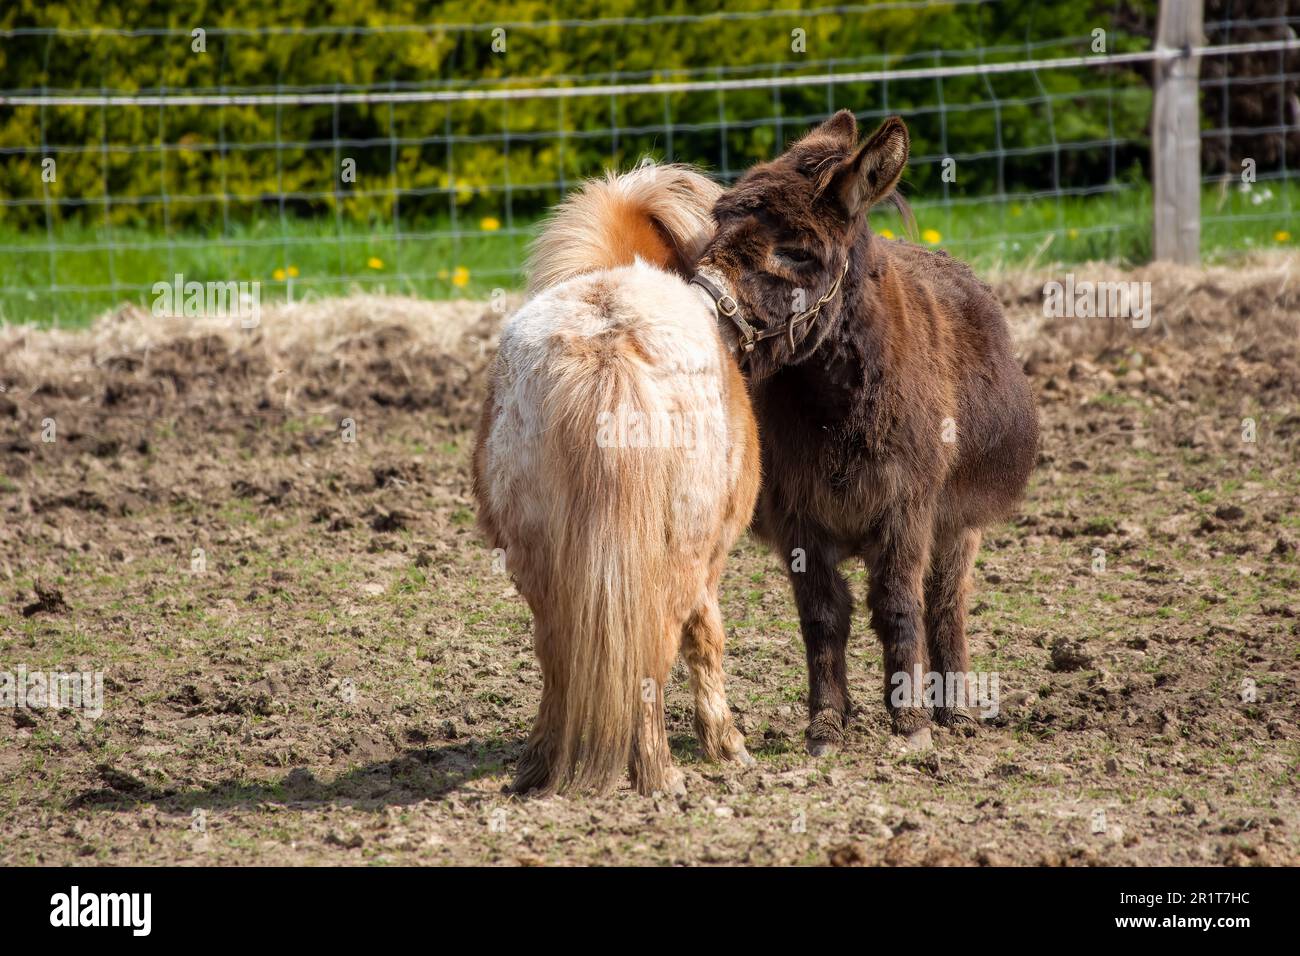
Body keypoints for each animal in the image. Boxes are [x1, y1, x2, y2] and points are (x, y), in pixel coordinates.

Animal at [472, 163, 761, 795]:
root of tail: (609, 341)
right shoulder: (712, 561)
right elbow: (707, 639)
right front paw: (726, 744)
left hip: (540, 565)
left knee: (557, 656)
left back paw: (539, 766)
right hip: (677, 559)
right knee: (656, 651)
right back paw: (658, 773)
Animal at [689, 111, 1038, 754]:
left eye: (797, 251)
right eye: (717, 224)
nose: (698, 309)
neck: (836, 405)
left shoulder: (907, 506)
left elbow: (898, 605)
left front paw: (911, 723)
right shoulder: (800, 517)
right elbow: (824, 616)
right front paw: (827, 724)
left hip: (958, 521)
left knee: (945, 602)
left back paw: (955, 711)